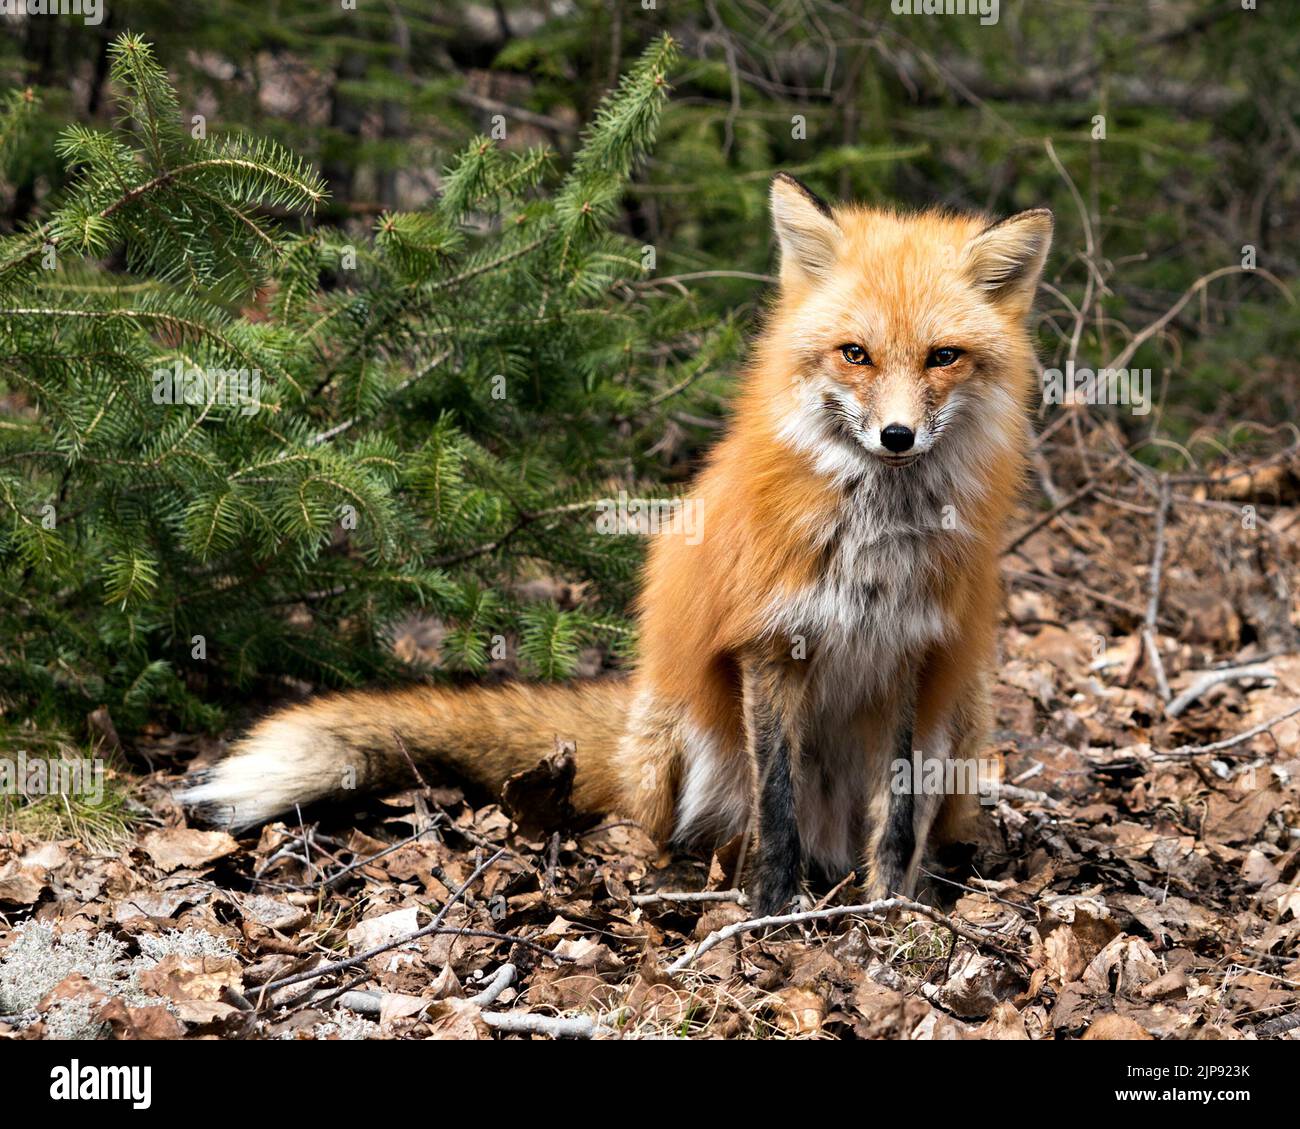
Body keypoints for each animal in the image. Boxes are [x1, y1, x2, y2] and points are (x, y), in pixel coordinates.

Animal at [180, 174, 1052, 917]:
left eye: (943, 356)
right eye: (855, 354)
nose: (897, 436)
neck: (873, 542)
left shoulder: (913, 656)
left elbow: (897, 816)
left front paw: (890, 909)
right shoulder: (771, 646)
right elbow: (776, 805)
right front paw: (773, 910)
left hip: (962, 718)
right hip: (681, 739)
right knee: (672, 828)